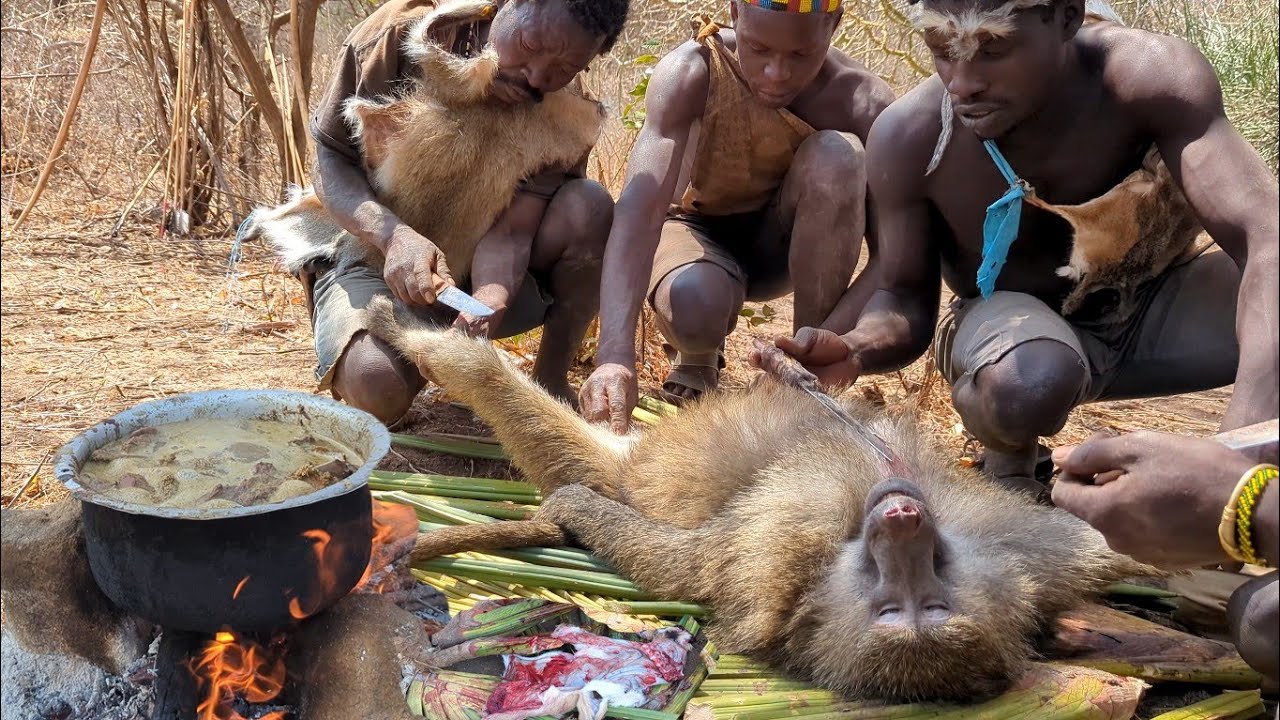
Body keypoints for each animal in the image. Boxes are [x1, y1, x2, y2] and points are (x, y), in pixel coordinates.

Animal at [363, 294, 1155, 703]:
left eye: (921, 606)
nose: (904, 517)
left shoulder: (767, 570)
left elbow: (675, 562)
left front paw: (573, 513)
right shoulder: (1039, 560)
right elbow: (1110, 551)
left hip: (634, 467)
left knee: (517, 406)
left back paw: (413, 332)